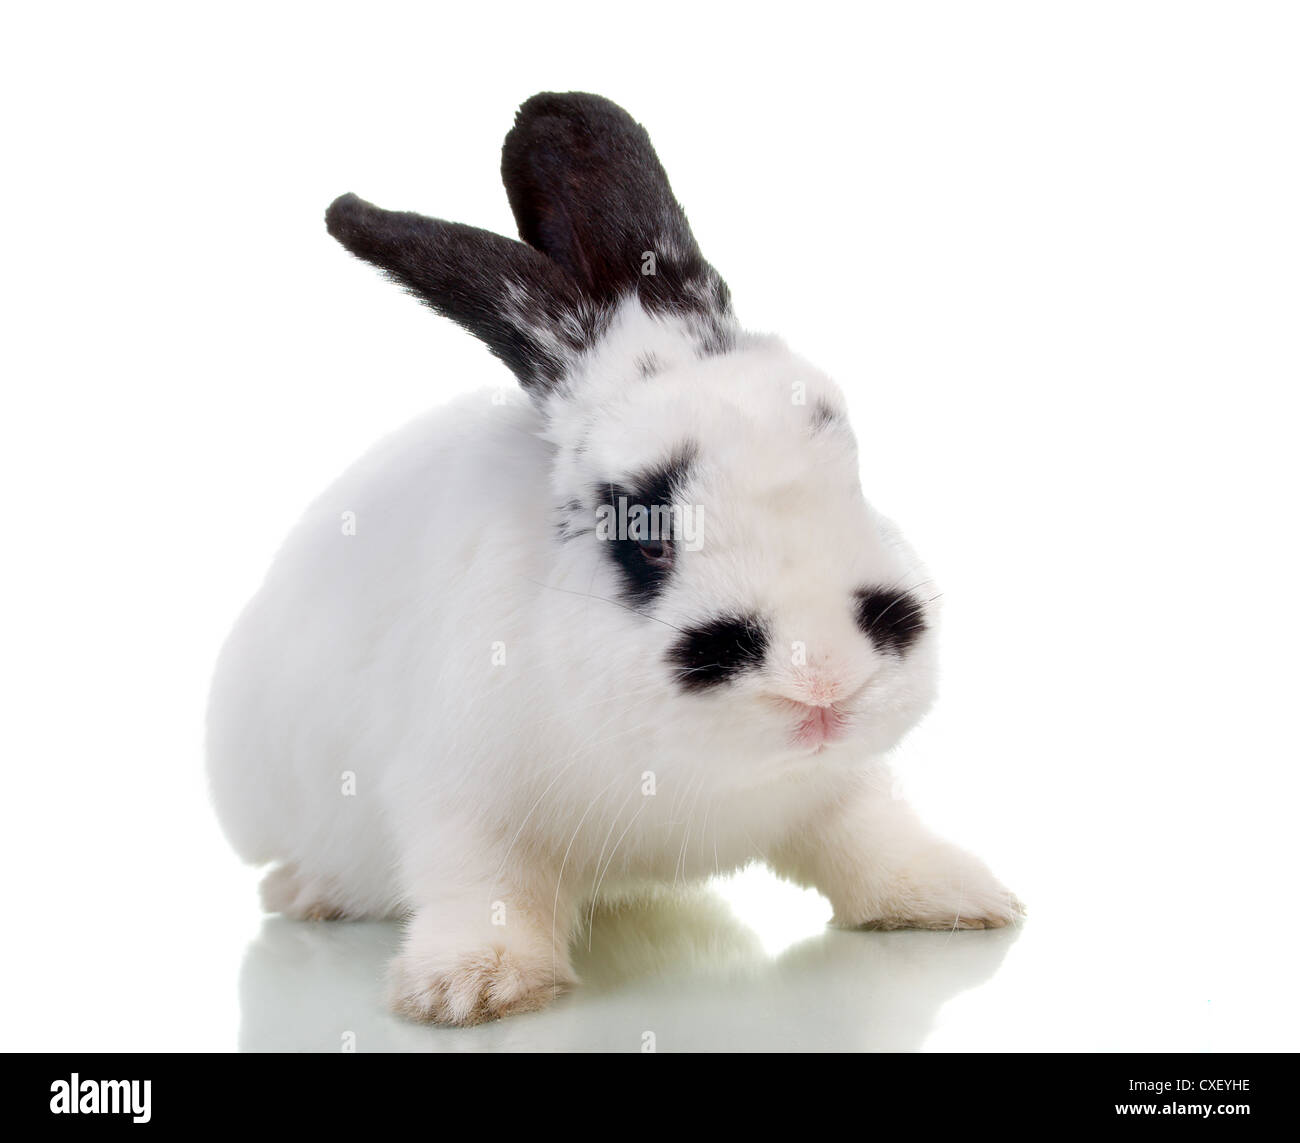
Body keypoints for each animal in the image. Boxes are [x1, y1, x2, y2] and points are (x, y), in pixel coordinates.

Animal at [206, 91, 1022, 1026]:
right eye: (647, 533)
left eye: (852, 481)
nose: (823, 681)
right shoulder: (456, 795)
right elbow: (480, 883)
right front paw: (474, 984)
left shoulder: (839, 788)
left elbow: (872, 838)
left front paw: (958, 897)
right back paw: (308, 890)